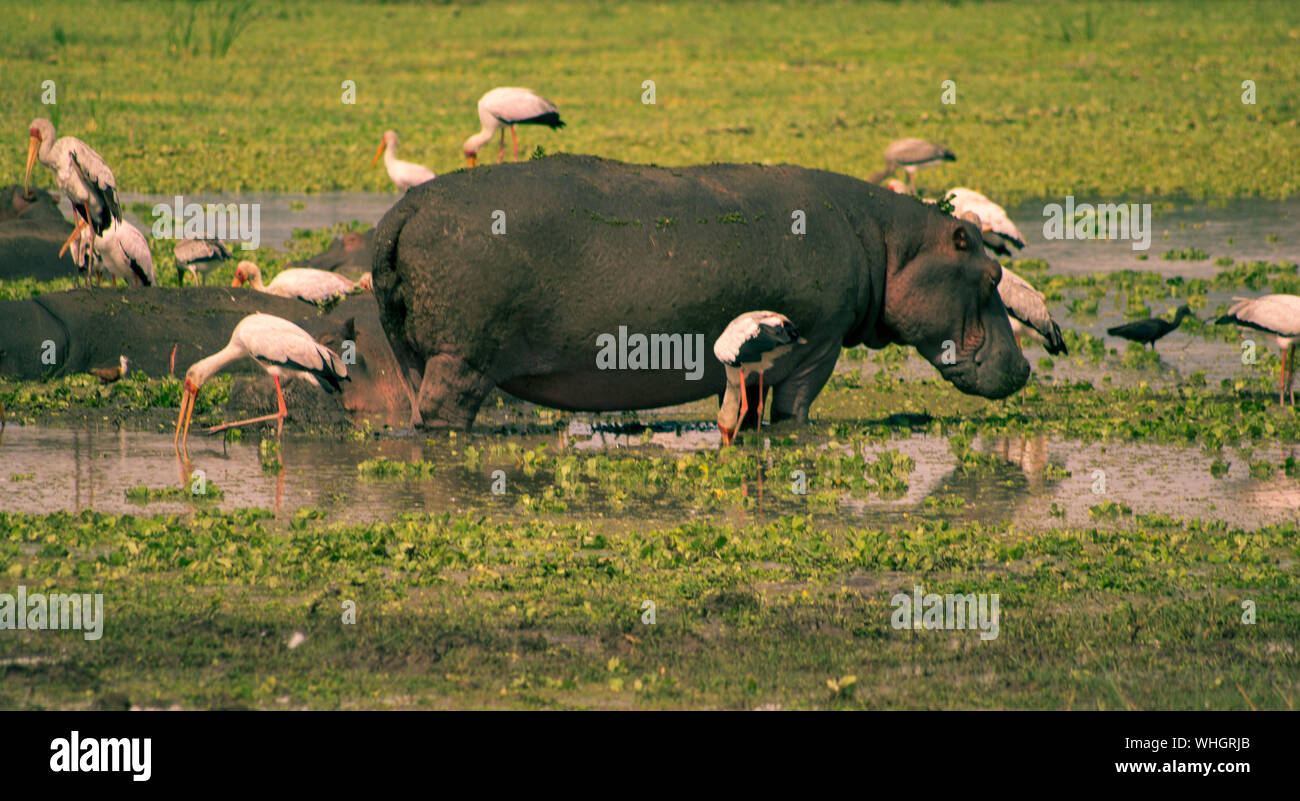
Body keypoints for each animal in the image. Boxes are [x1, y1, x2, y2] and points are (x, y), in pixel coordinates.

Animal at [372, 154, 1029, 429]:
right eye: (991, 276)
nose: (1025, 367)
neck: (890, 243)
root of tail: (403, 209)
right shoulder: (818, 346)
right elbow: (793, 411)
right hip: (462, 359)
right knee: (445, 411)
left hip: (417, 353)